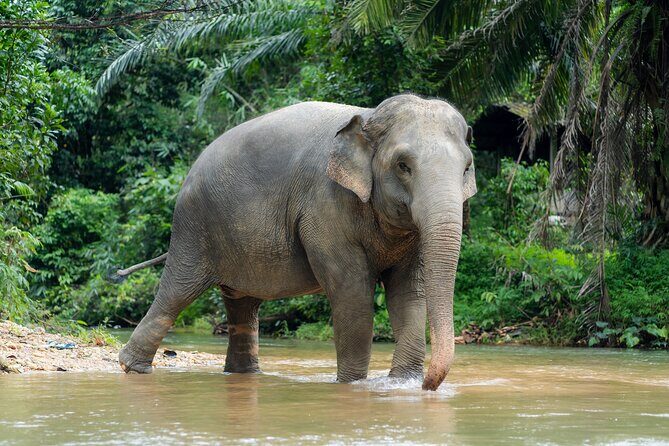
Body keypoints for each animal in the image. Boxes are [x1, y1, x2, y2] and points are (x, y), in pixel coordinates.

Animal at [116, 94, 476, 391]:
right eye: (403, 166)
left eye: (466, 168)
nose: (428, 385)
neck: (369, 115)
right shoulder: (324, 205)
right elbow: (352, 293)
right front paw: (352, 386)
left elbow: (408, 294)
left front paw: (402, 385)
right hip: (194, 228)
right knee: (177, 293)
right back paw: (132, 368)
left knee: (242, 306)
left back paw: (243, 374)